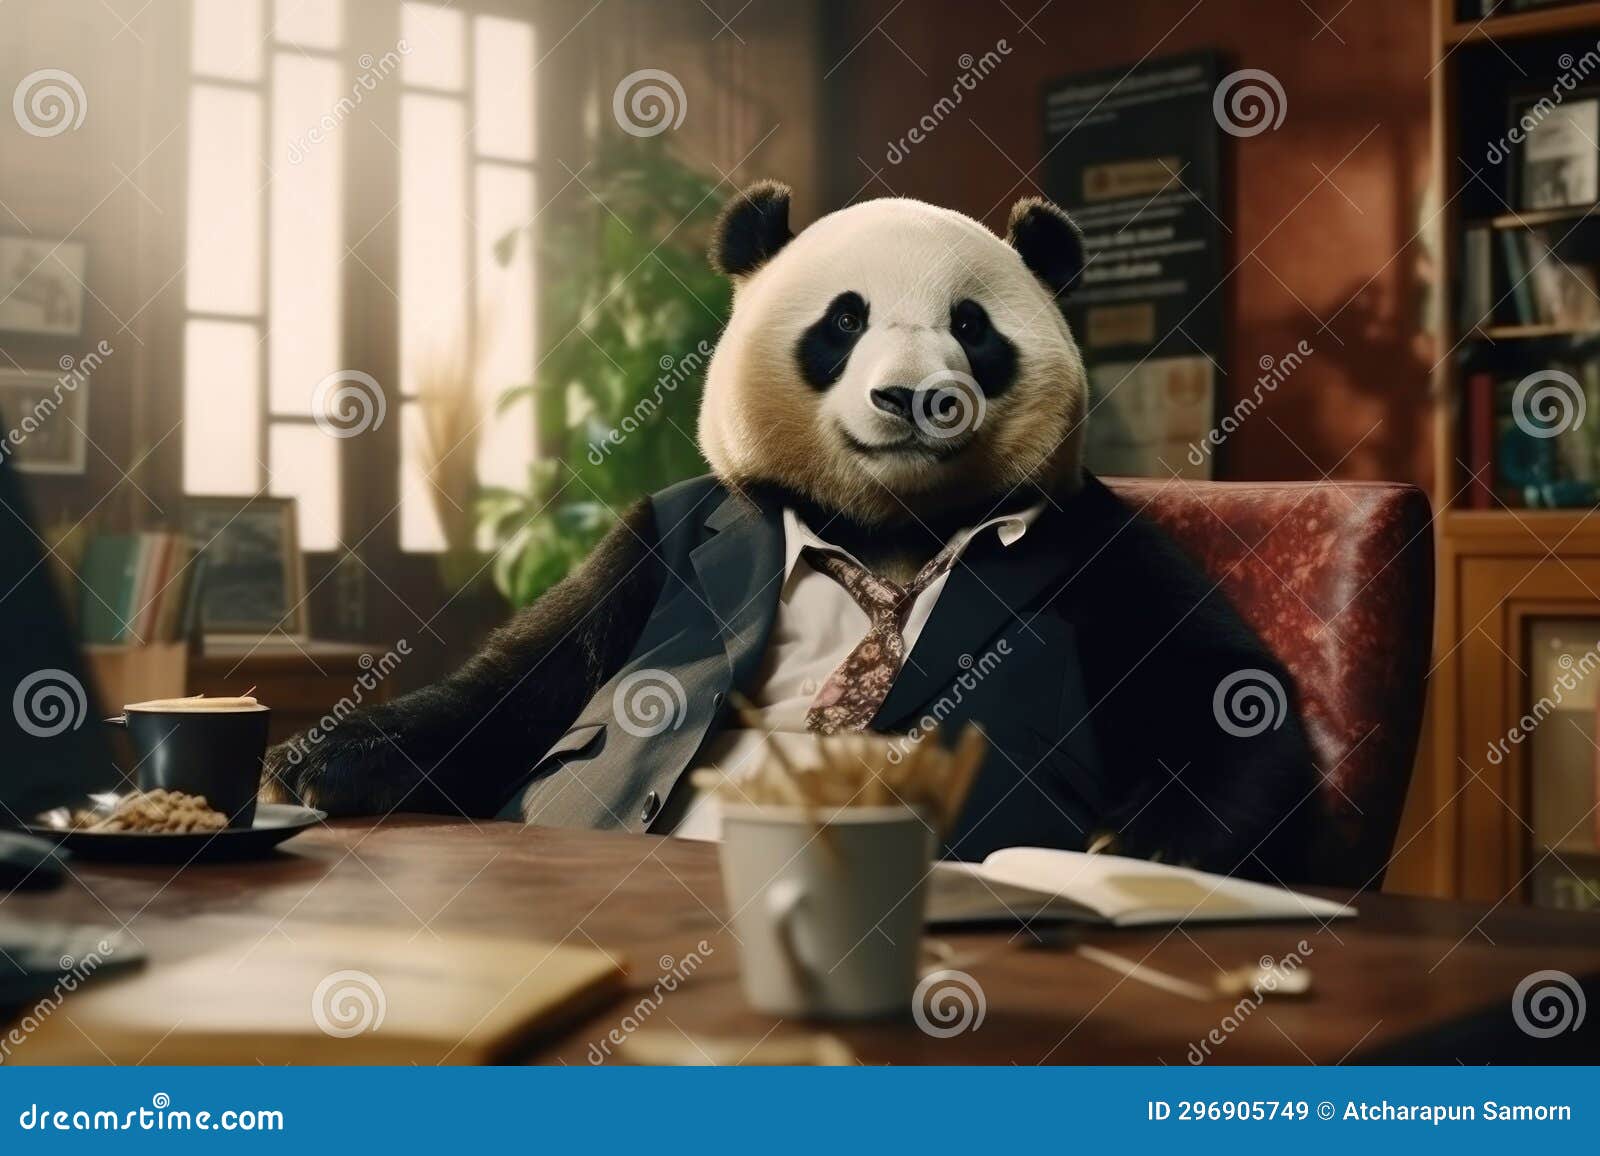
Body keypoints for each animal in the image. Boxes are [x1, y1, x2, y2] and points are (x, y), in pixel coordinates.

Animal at [264, 182, 1315, 879]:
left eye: (972, 327)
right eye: (844, 322)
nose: (916, 397)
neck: (891, 525)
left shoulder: (1097, 543)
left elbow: (1225, 690)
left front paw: (1145, 843)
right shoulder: (658, 541)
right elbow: (525, 680)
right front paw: (320, 761)